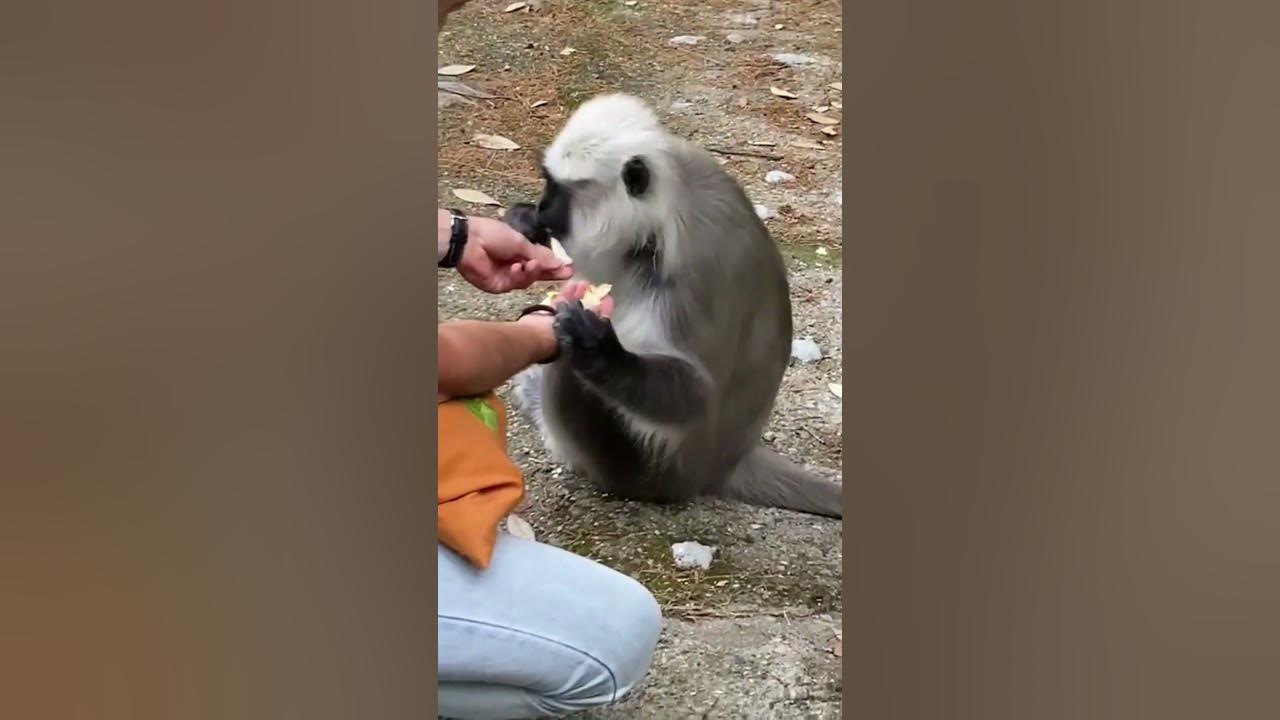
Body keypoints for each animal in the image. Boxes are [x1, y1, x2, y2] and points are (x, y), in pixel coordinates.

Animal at [510, 93, 842, 519]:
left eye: (559, 191)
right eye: (547, 184)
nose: (543, 207)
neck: (660, 221)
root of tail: (724, 465)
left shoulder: (693, 275)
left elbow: (698, 399)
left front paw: (599, 350)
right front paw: (520, 225)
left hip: (640, 469)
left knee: (566, 370)